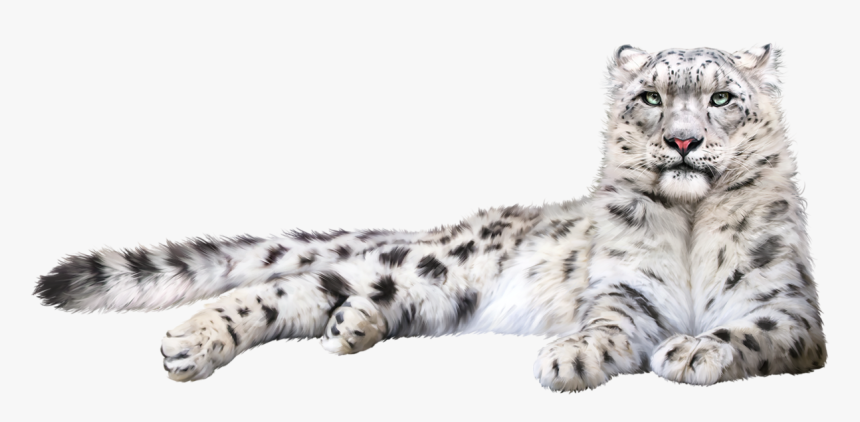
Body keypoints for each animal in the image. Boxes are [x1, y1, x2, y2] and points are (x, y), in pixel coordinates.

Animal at [34, 44, 826, 391]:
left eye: (721, 97)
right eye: (652, 98)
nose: (683, 141)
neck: (688, 229)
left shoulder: (789, 305)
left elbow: (753, 329)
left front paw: (693, 352)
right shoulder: (622, 291)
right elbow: (605, 324)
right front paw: (572, 355)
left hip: (434, 294)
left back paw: (352, 327)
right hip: (427, 266)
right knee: (290, 287)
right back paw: (191, 342)